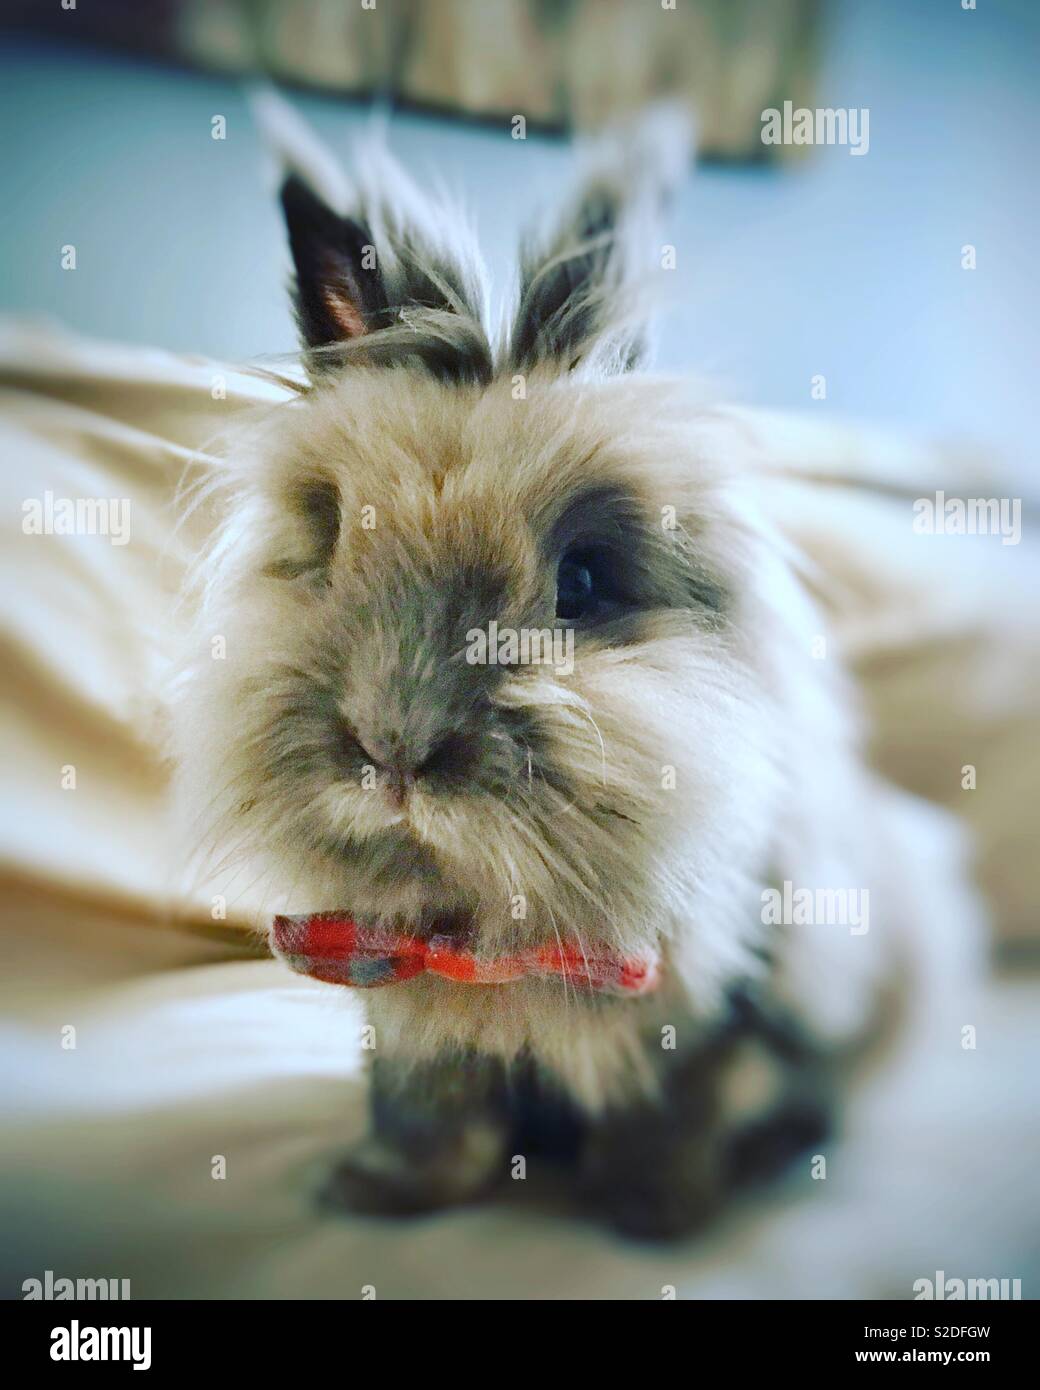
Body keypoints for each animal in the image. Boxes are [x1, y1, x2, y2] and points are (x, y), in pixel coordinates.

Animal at [173, 108, 980, 1240]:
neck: (489, 925)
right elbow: (428, 1113)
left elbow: (677, 1106)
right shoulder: (410, 1019)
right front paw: (377, 1193)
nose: (394, 748)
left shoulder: (715, 1000)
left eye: (584, 582)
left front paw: (648, 1214)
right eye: (330, 545)